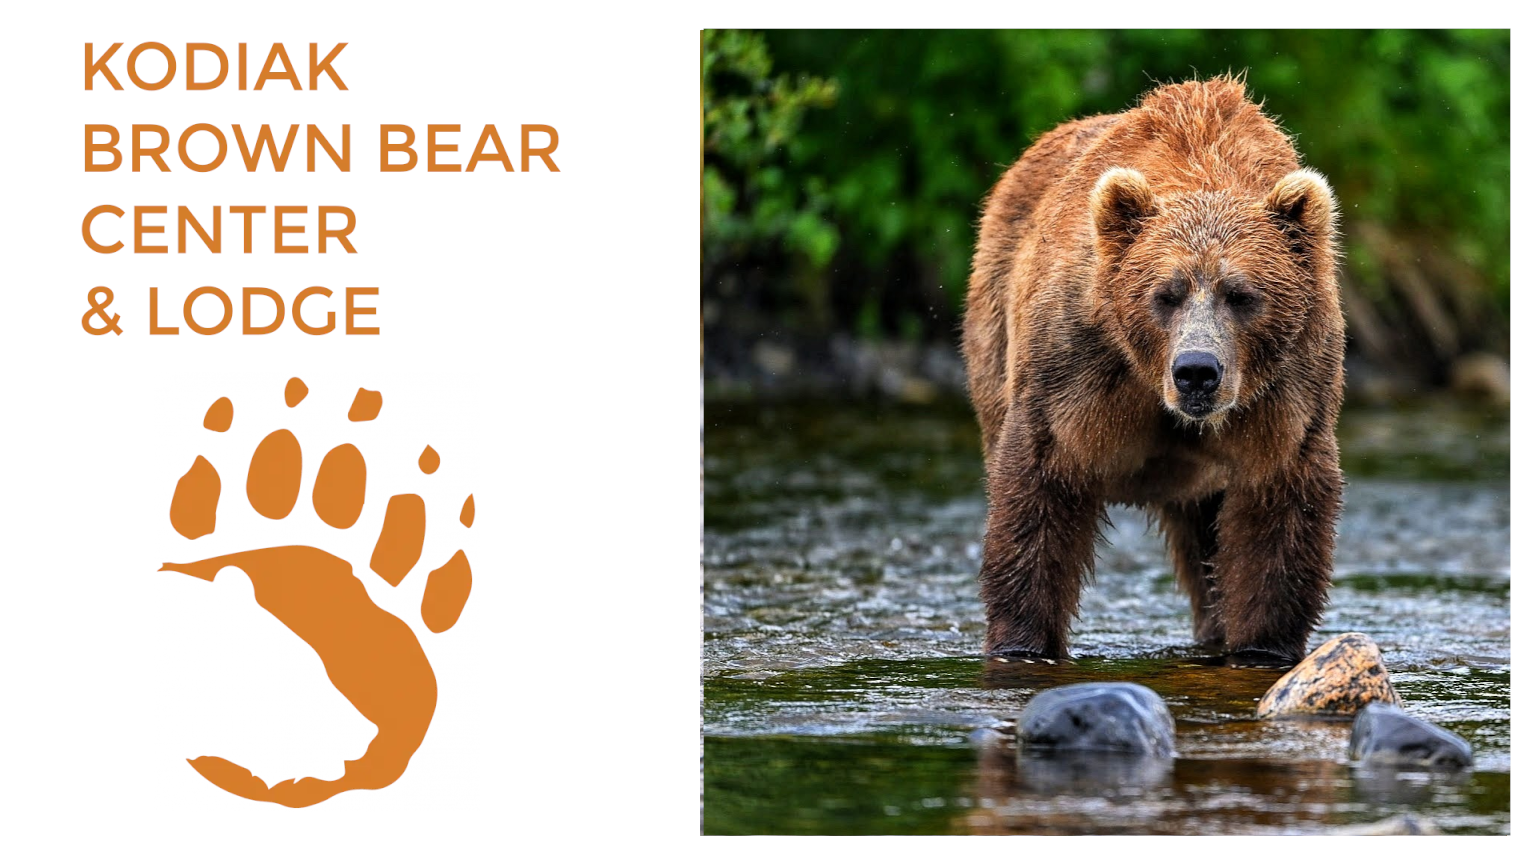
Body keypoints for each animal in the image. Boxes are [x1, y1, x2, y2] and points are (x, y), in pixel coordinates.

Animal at [961, 76, 1344, 663]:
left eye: (1241, 295)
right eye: (1167, 293)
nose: (1197, 370)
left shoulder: (1288, 390)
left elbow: (1277, 510)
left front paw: (1264, 645)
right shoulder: (1076, 361)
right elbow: (1040, 490)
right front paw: (1022, 639)